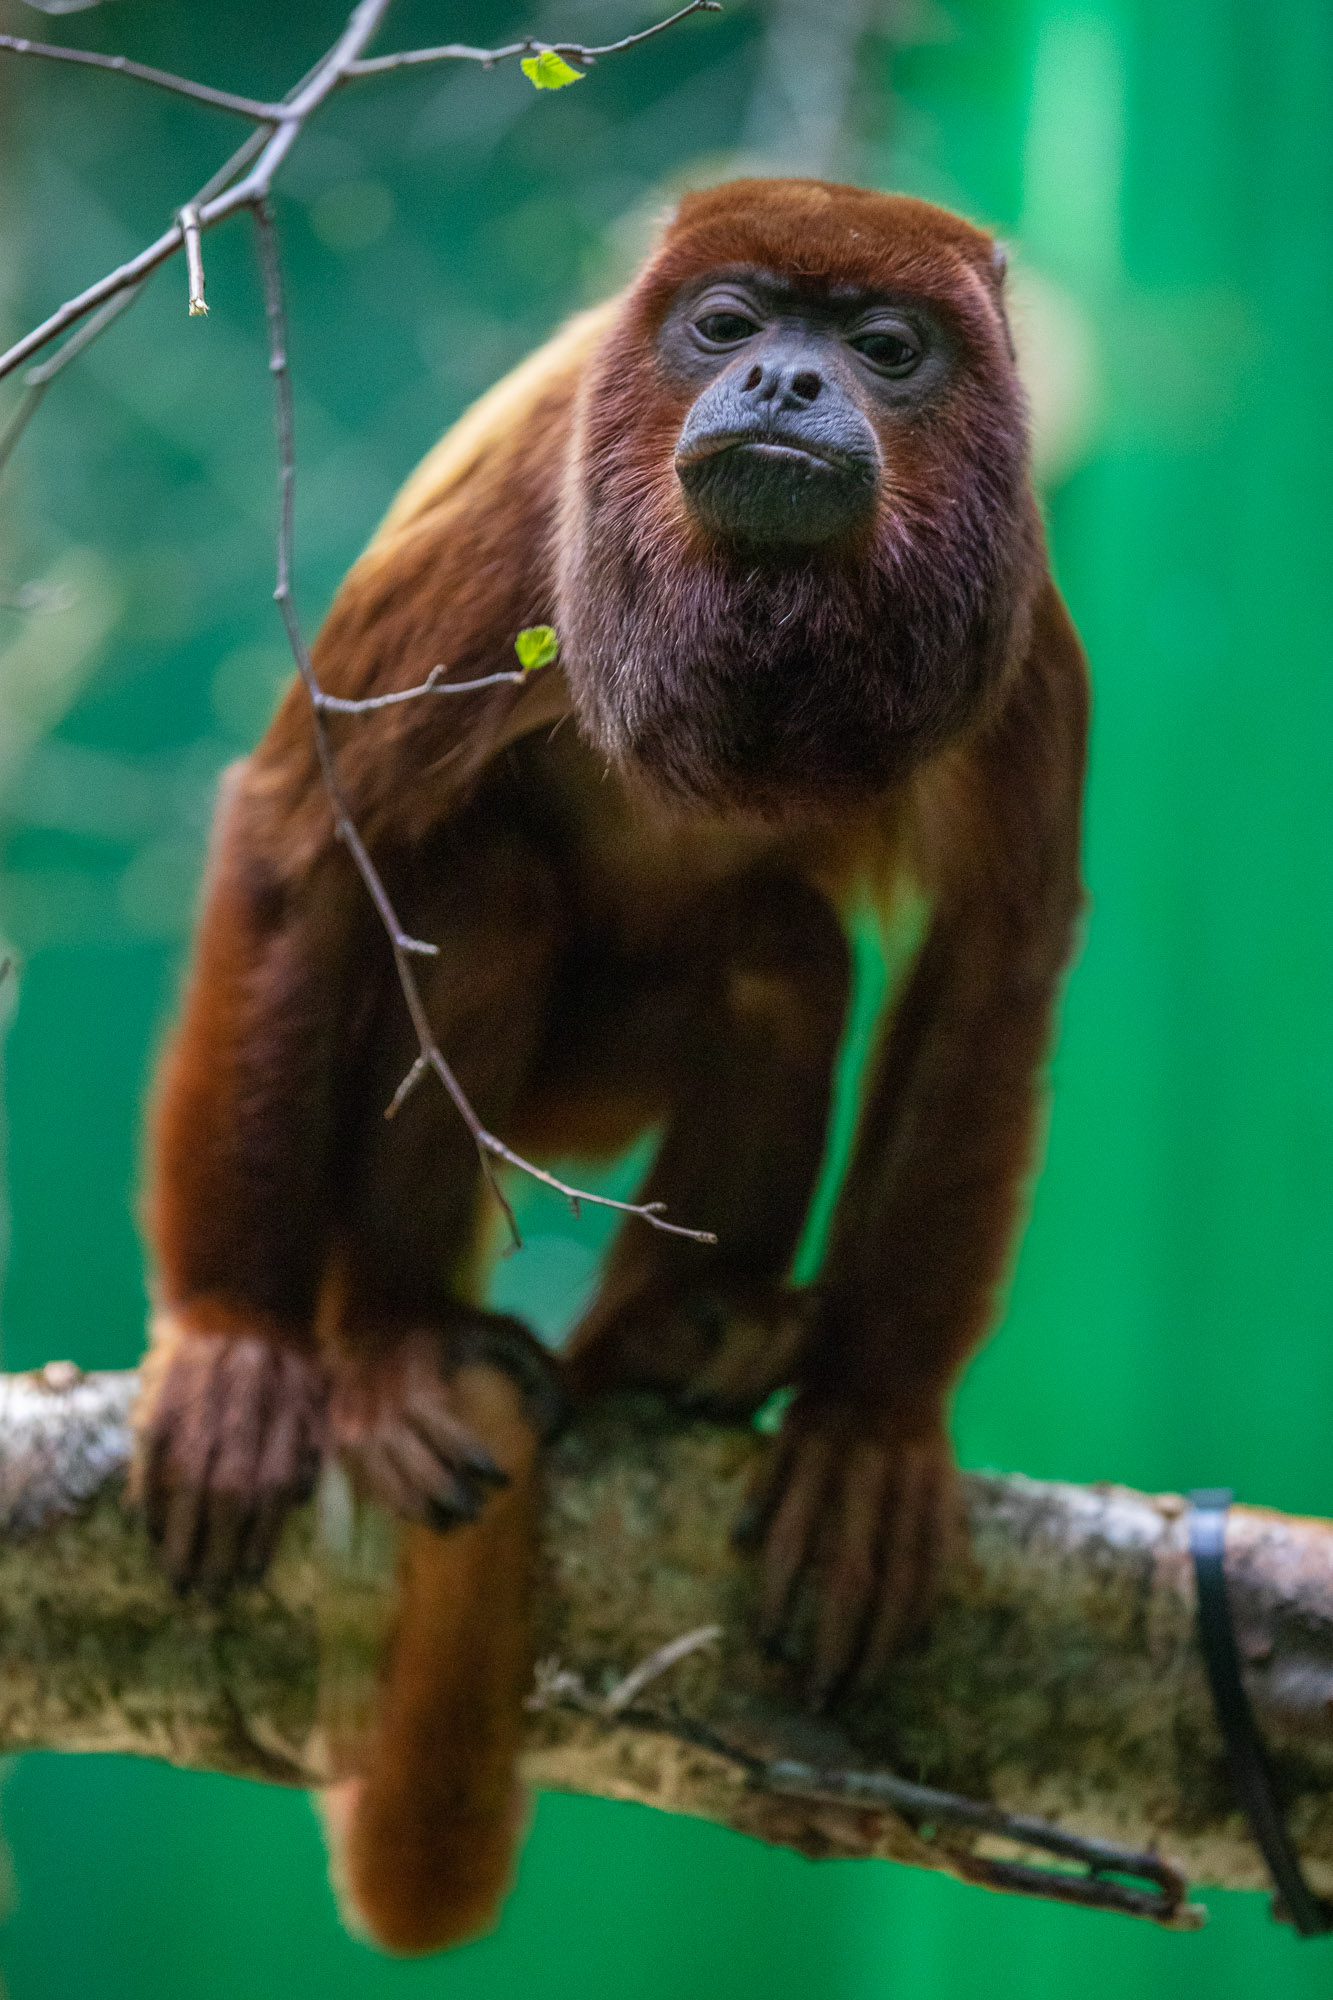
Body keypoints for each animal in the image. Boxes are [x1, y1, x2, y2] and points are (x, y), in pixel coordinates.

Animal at [135, 178, 1088, 1955]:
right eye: (726, 325)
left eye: (884, 347)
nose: (783, 381)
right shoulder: (512, 536)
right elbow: (300, 838)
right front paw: (230, 1345)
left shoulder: (1015, 633)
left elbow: (990, 964)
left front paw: (866, 1431)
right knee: (480, 903)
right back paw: (391, 1346)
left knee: (783, 955)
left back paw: (668, 1339)